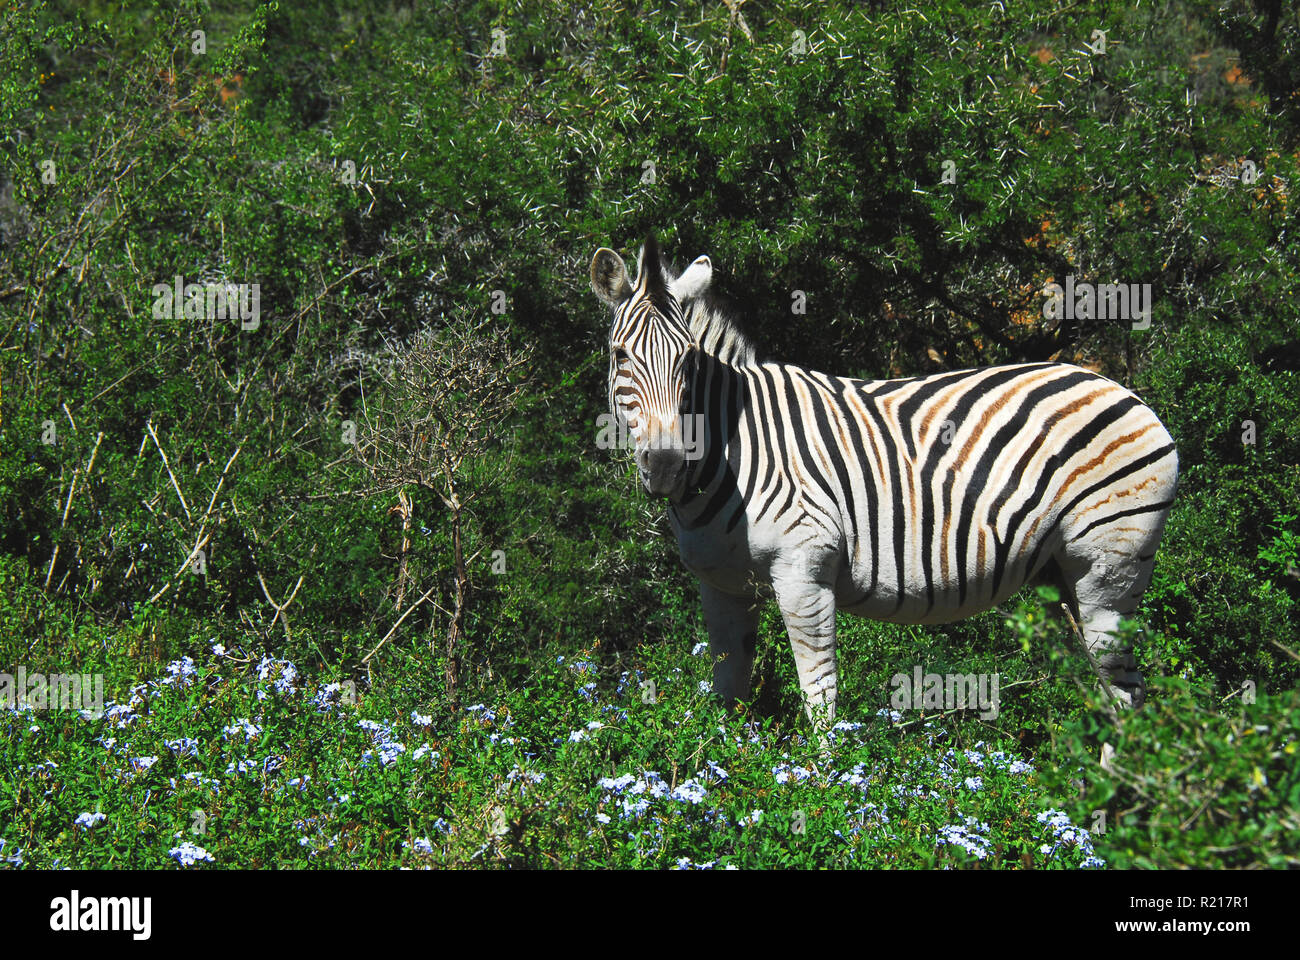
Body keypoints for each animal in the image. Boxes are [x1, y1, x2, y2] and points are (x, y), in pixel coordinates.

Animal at [590, 236, 1179, 734]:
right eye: (620, 356)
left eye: (688, 359)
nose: (667, 466)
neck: (735, 451)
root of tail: (1122, 389)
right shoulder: (721, 587)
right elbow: (729, 698)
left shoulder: (805, 573)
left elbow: (821, 704)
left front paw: (825, 787)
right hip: (1059, 577)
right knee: (1101, 695)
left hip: (1107, 573)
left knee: (1128, 698)